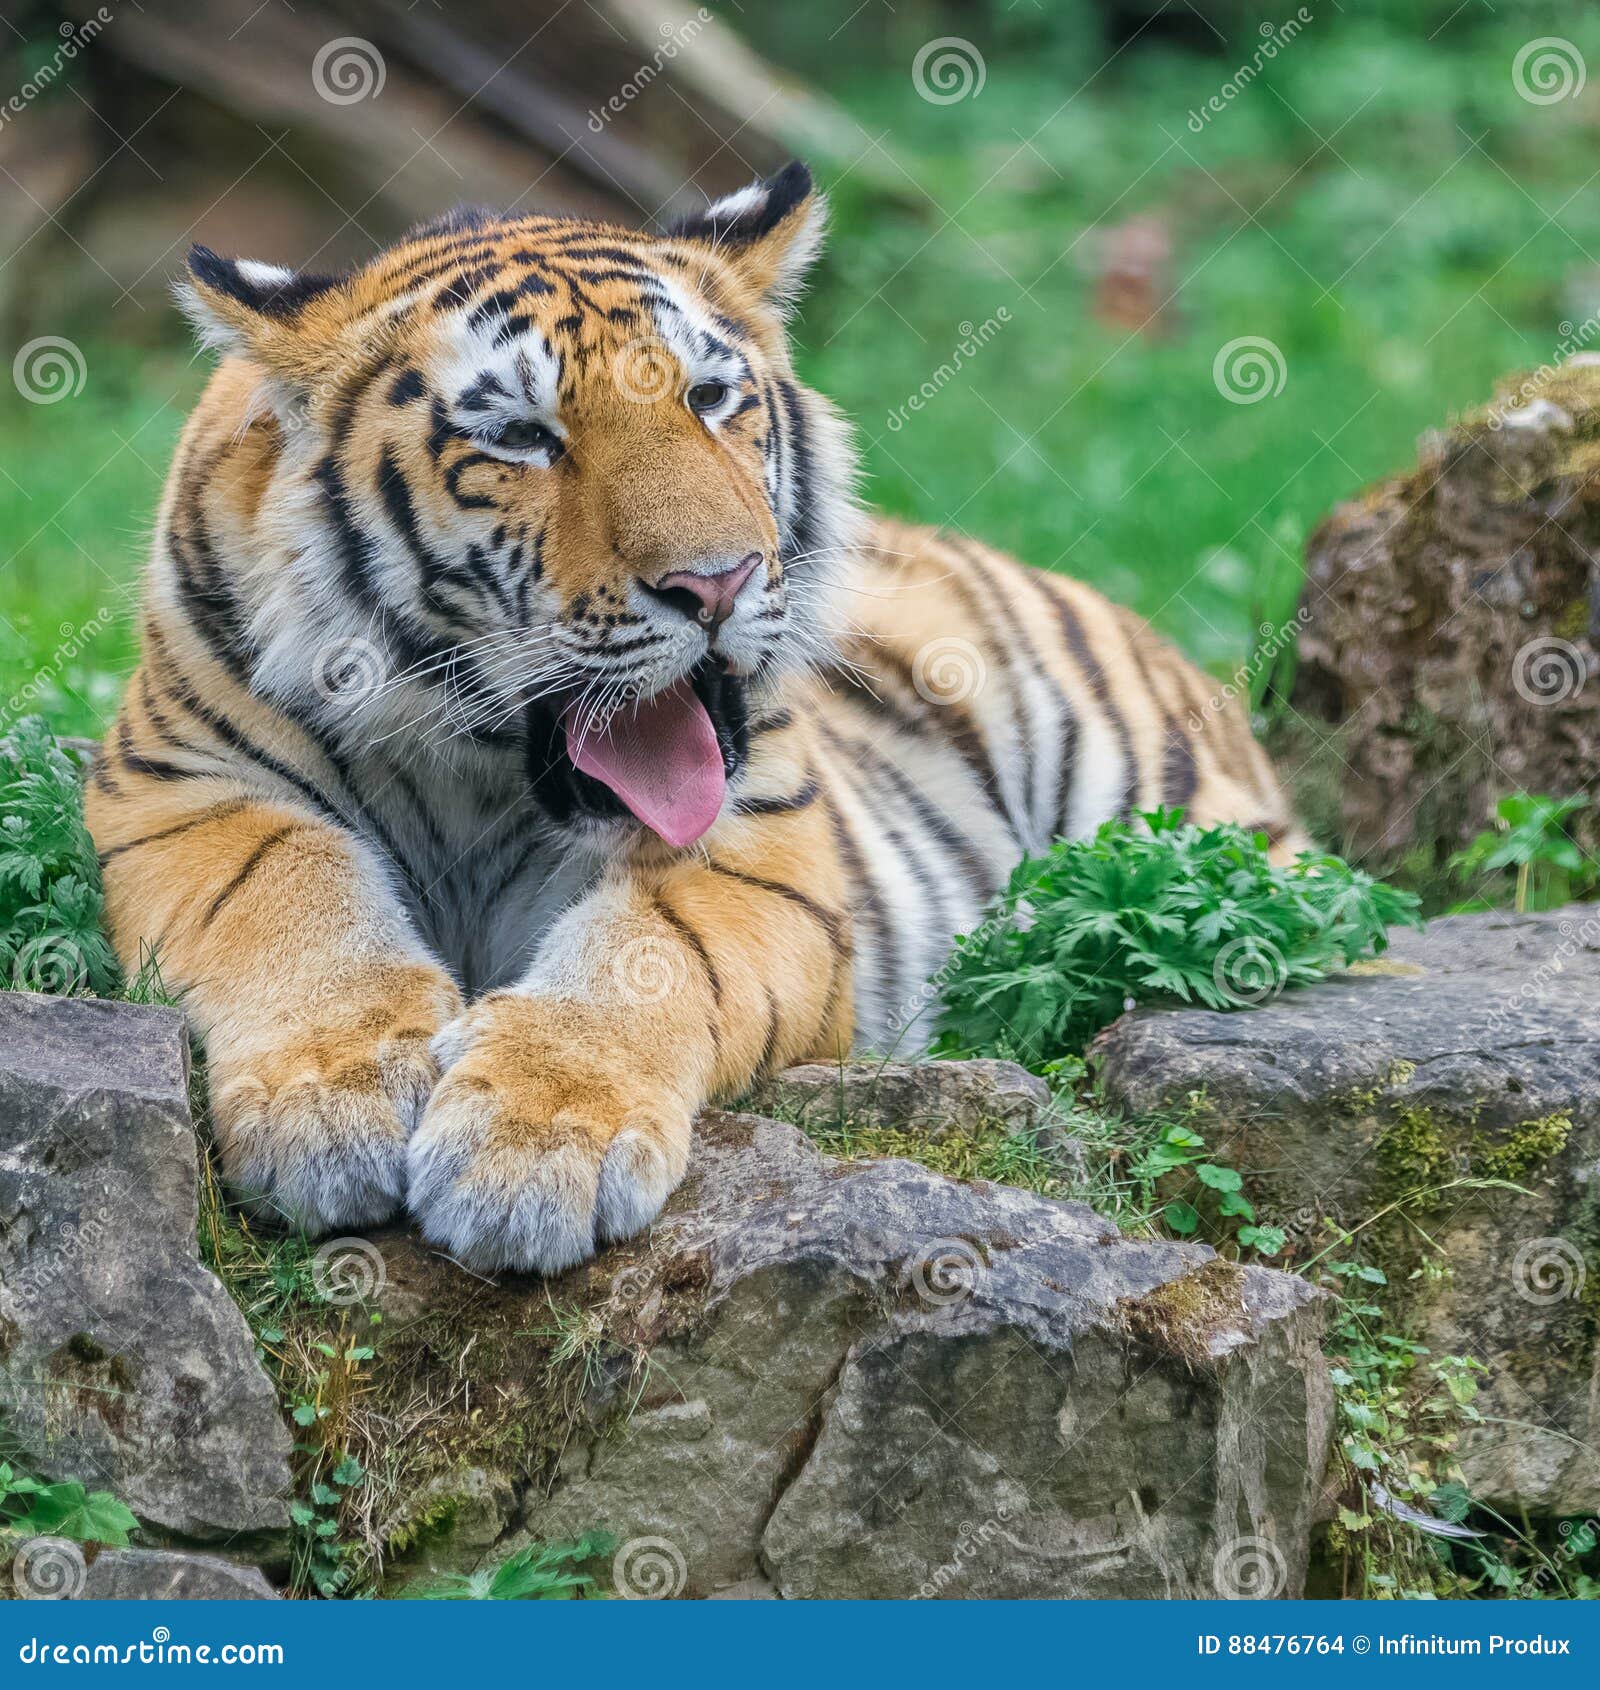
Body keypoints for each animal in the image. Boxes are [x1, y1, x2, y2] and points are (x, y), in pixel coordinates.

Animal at [85, 161, 1302, 1275]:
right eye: (522, 436)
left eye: (710, 399)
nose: (717, 584)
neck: (472, 768)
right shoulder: (183, 787)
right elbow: (288, 896)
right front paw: (330, 1104)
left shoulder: (759, 841)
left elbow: (643, 955)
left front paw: (531, 1149)